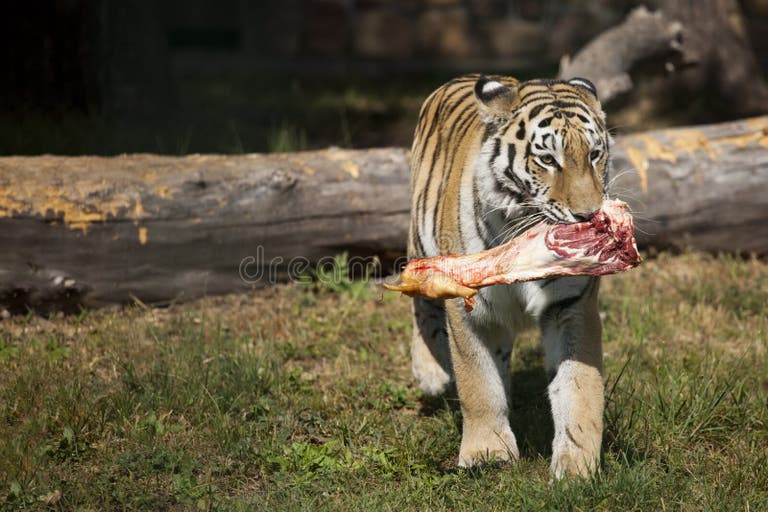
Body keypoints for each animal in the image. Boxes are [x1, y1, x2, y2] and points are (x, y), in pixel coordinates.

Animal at [407, 74, 610, 479]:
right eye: (547, 160)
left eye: (594, 154)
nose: (588, 215)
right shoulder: (467, 305)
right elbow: (478, 383)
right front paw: (486, 452)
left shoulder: (572, 306)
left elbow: (579, 385)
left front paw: (577, 466)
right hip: (420, 244)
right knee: (417, 294)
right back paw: (431, 373)